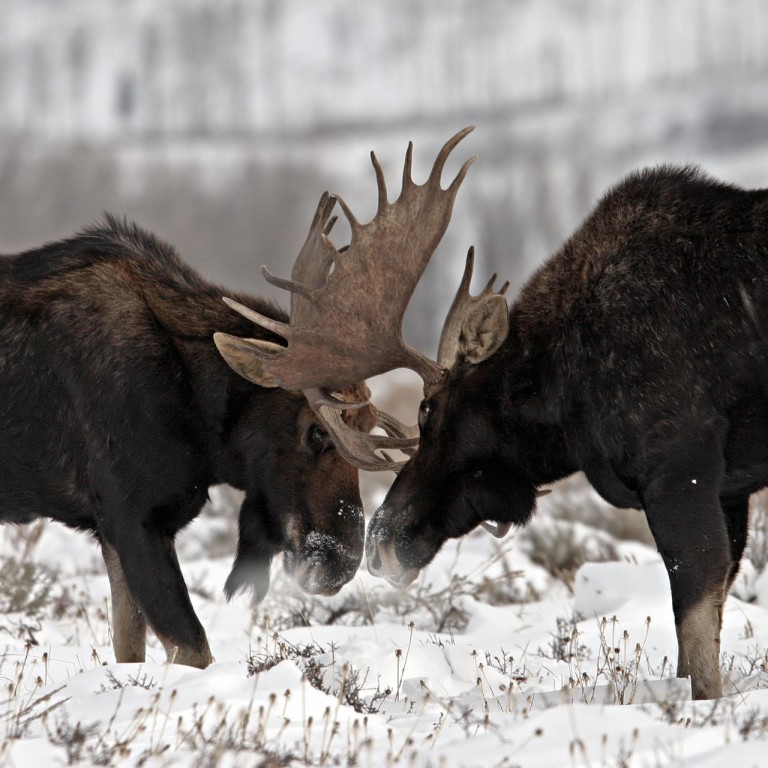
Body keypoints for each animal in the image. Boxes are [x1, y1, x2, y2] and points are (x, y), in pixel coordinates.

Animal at [221, 127, 768, 699]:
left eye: (428, 410)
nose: (379, 541)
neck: (566, 392)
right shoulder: (729, 489)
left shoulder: (679, 467)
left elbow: (697, 631)